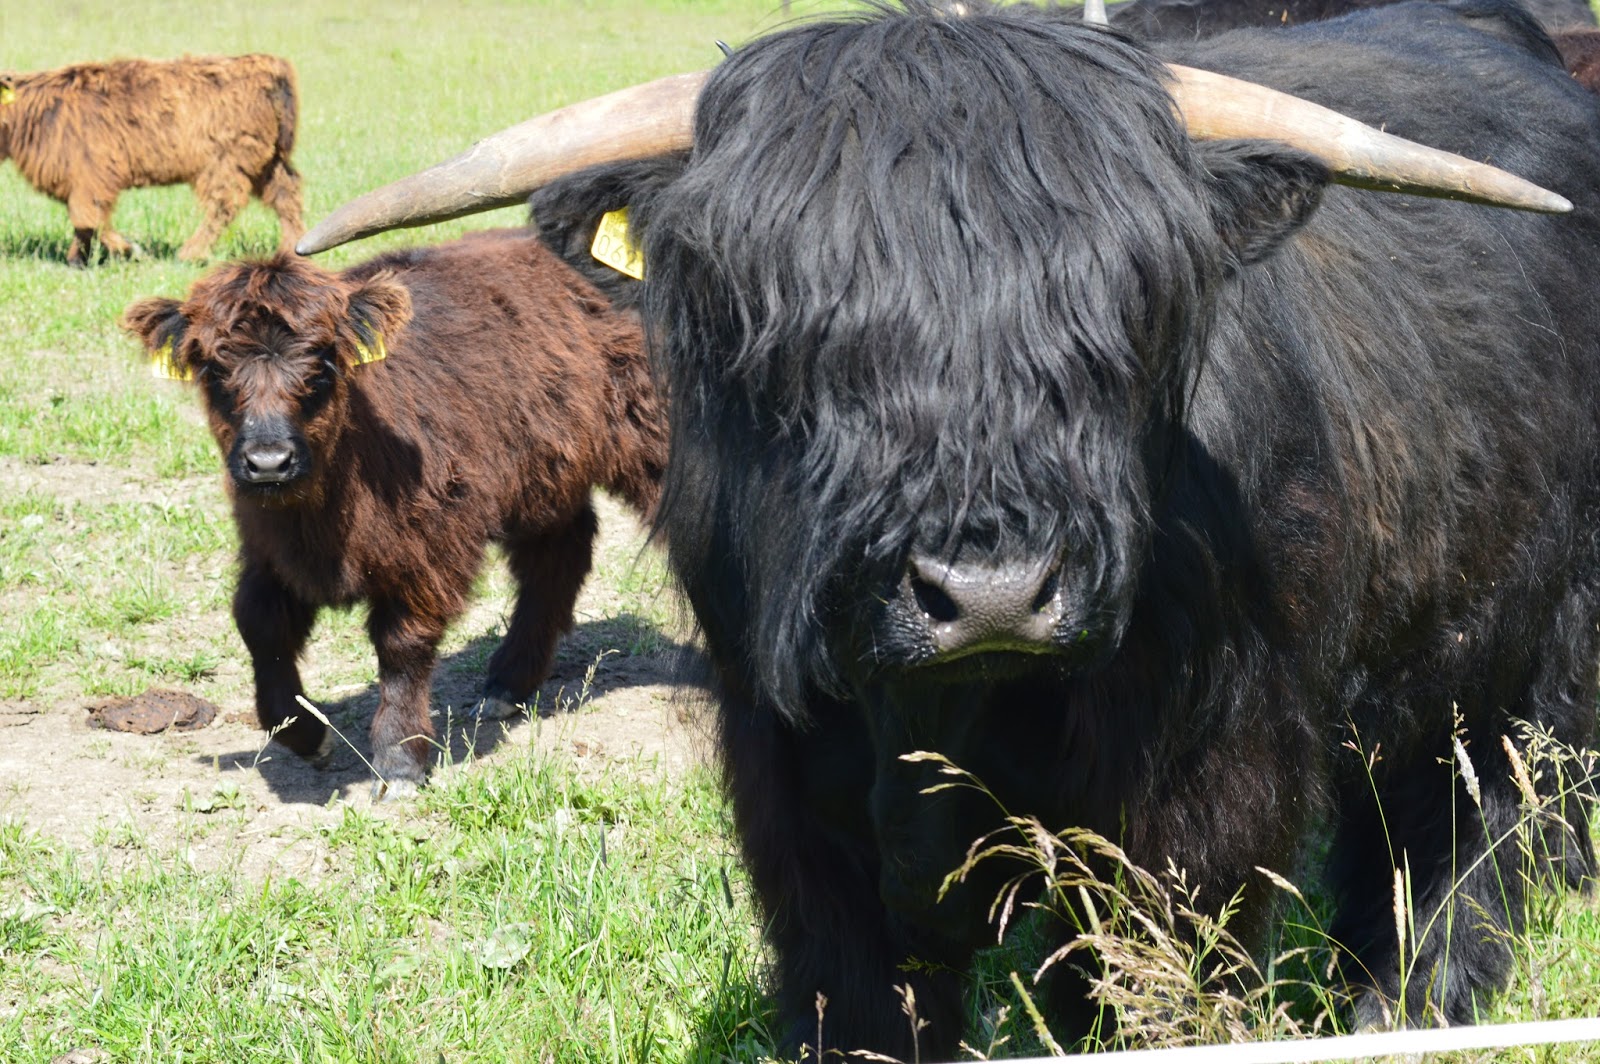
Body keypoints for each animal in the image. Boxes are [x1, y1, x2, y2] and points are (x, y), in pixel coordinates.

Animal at [0, 54, 304, 267]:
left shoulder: (92, 177)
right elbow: (85, 223)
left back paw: (190, 253)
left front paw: (130, 250)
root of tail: (268, 65)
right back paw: (291, 249)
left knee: (225, 204)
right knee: (286, 194)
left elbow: (88, 218)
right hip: (267, 161)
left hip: (228, 162)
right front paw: (77, 259)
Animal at [120, 228, 665, 798]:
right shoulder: (266, 549)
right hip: (545, 477)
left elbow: (402, 645)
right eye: (213, 369)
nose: (269, 462)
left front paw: (400, 760)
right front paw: (306, 733)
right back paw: (507, 684)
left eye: (323, 364)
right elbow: (259, 626)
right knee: (559, 557)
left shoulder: (429, 550)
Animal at [292, 0, 1600, 1055]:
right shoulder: (791, 789)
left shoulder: (1199, 790)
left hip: (1528, 641)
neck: (944, 709)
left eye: (1127, 308)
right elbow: (862, 995)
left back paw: (1412, 1003)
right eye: (787, 327)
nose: (993, 593)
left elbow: (1138, 985)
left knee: (1474, 824)